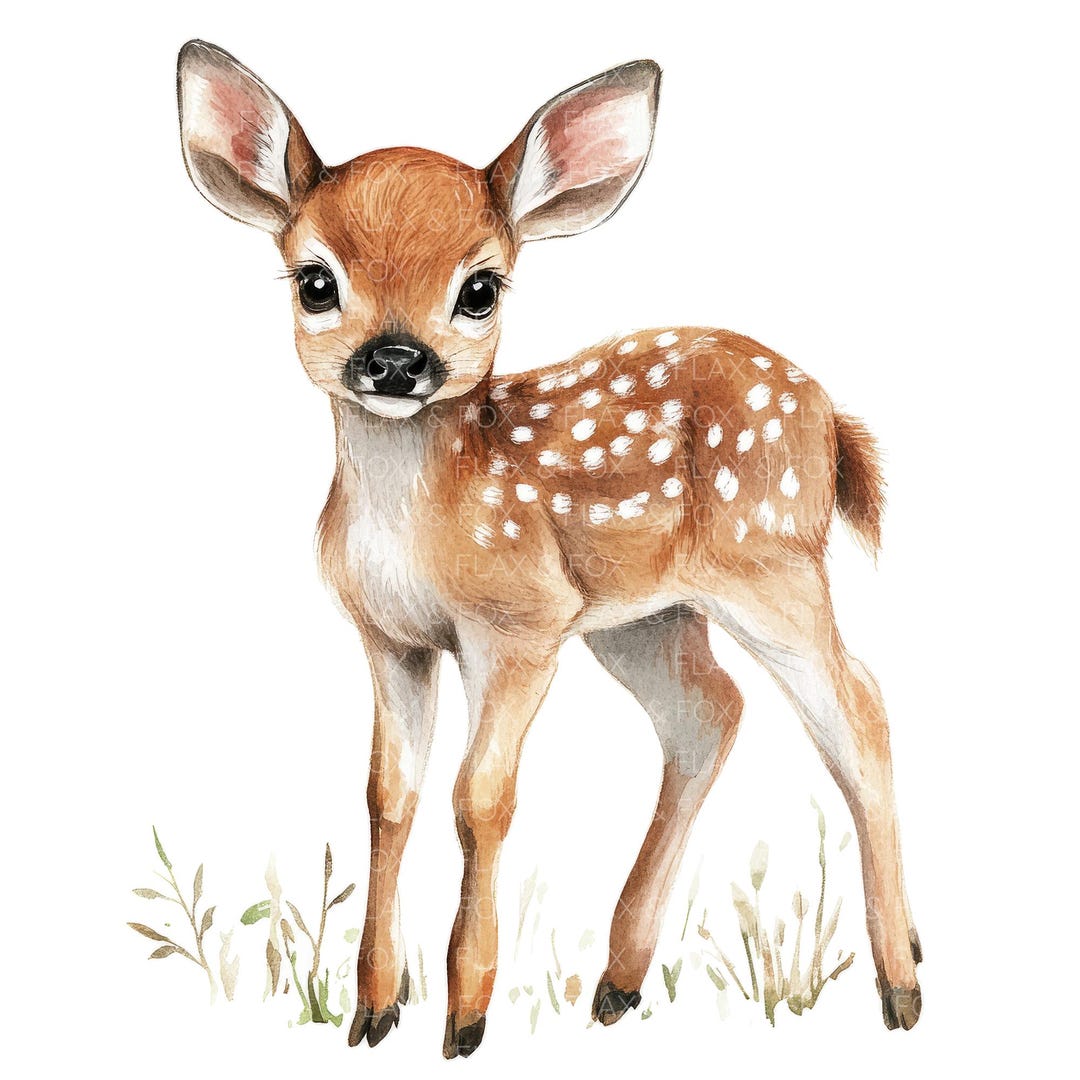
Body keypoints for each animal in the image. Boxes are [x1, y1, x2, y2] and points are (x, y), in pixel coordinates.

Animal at [176, 40, 922, 1056]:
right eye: (315, 280)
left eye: (480, 287)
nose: (396, 361)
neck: (421, 524)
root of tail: (830, 418)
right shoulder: (390, 637)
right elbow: (388, 797)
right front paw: (373, 1007)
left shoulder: (521, 623)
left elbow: (479, 799)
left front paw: (464, 1016)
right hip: (643, 616)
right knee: (710, 712)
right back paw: (621, 981)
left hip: (771, 563)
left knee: (859, 708)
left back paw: (900, 988)